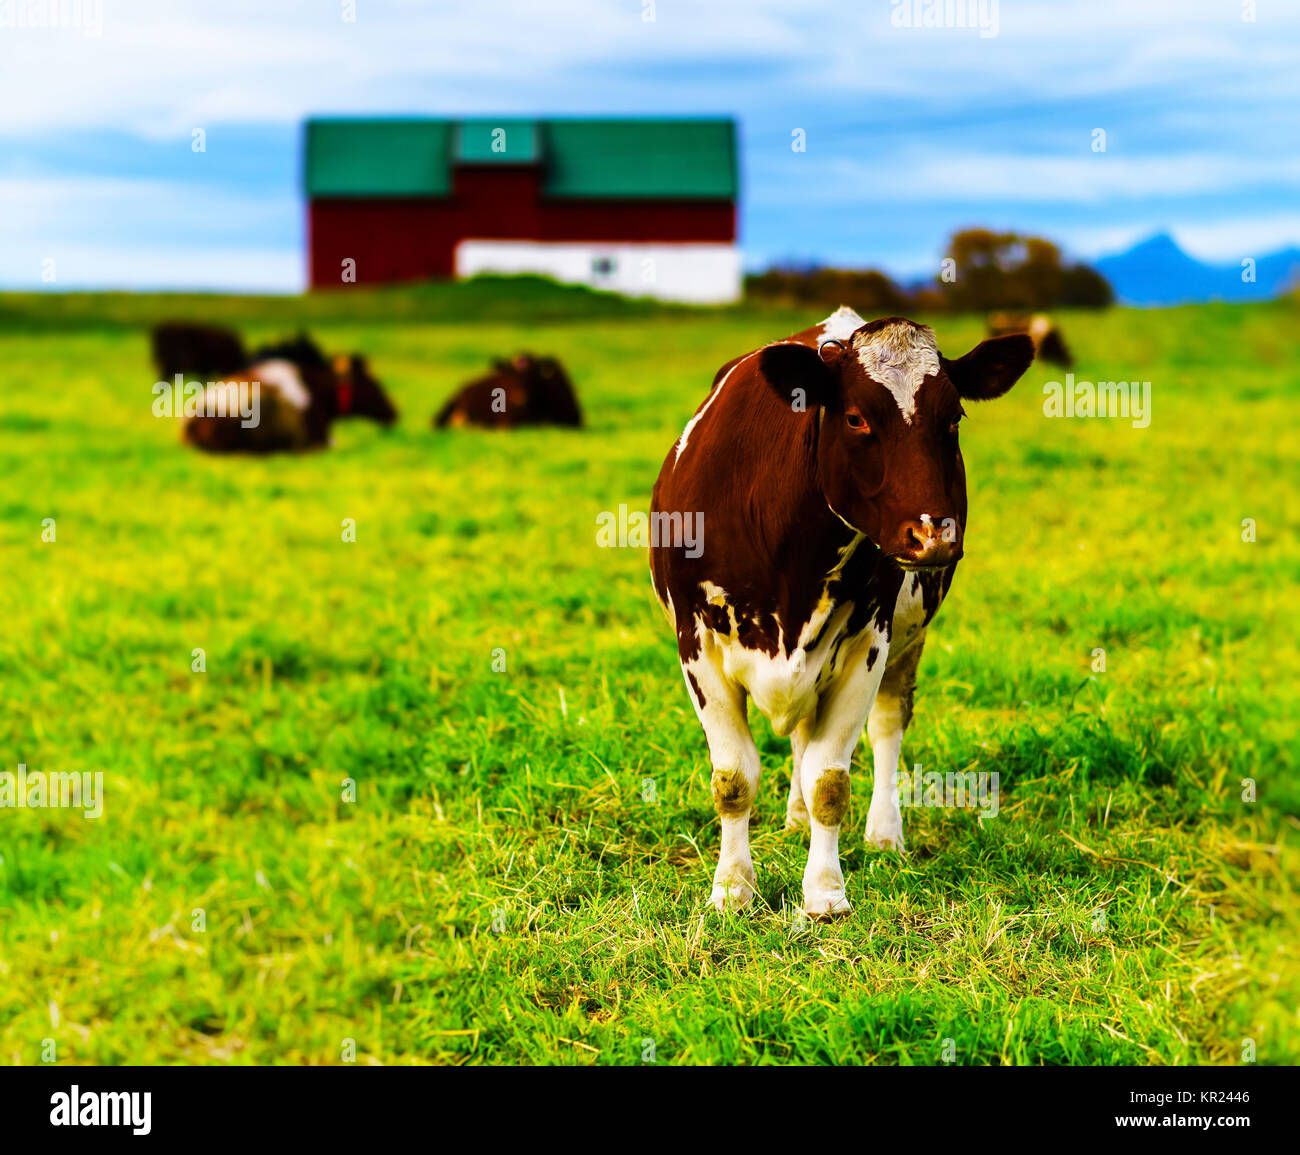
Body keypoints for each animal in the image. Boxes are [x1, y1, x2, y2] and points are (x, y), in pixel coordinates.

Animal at [650, 306, 1034, 916]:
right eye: (855, 418)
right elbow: (734, 777)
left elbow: (829, 779)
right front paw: (732, 888)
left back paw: (884, 833)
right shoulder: (698, 647)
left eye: (954, 417)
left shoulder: (866, 646)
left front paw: (825, 892)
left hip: (906, 641)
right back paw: (793, 819)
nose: (934, 535)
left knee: (885, 727)